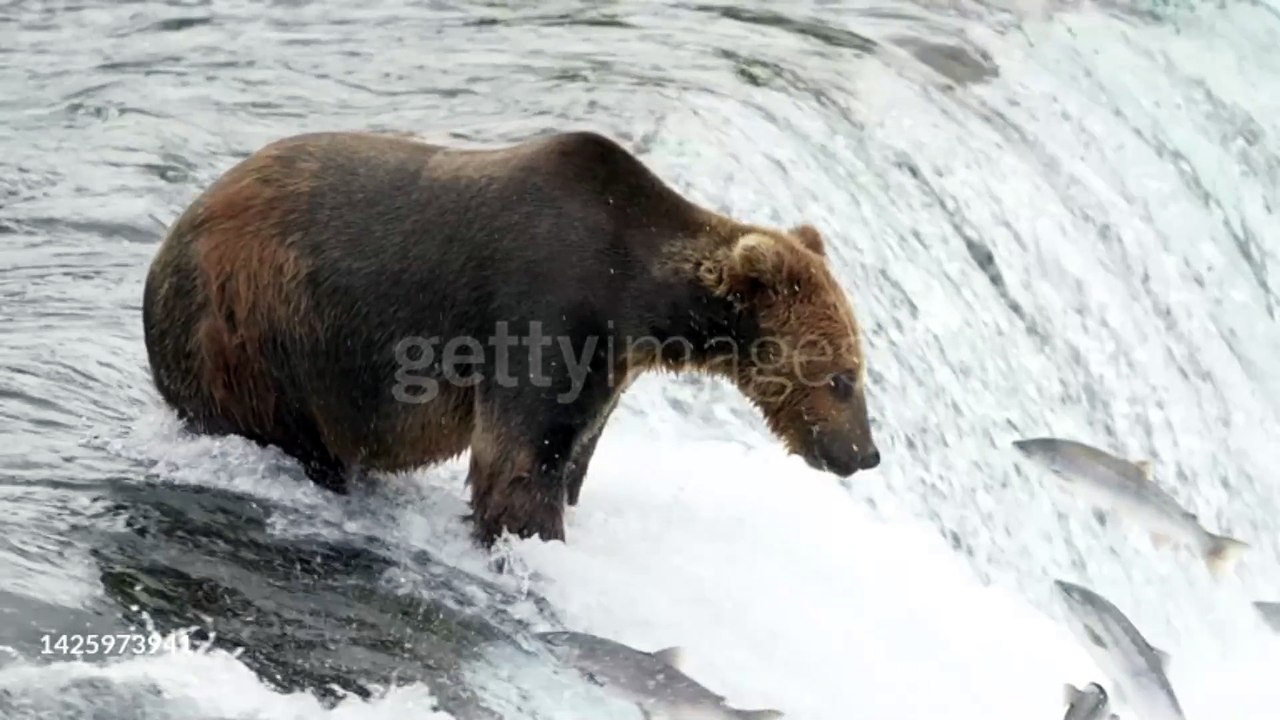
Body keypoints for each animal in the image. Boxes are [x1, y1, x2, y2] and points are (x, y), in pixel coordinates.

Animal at [141, 129, 880, 546]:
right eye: (842, 377)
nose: (864, 453)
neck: (638, 292)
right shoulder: (545, 306)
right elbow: (520, 454)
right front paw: (530, 534)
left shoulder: (609, 357)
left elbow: (576, 444)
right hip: (260, 330)